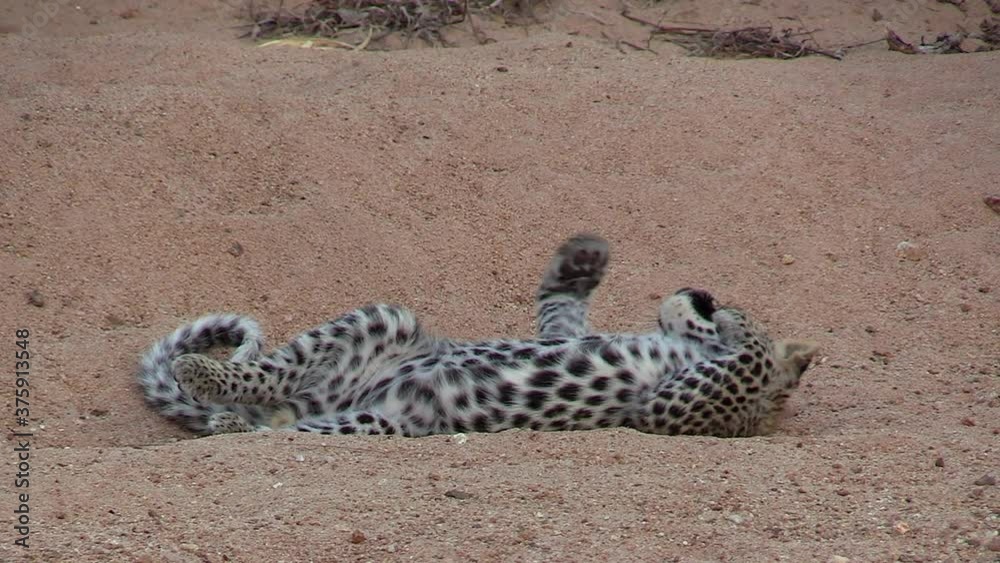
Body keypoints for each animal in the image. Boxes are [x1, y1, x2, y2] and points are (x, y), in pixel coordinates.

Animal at [138, 233, 819, 439]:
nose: (704, 289)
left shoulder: (669, 409)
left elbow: (756, 355)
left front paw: (760, 333)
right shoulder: (574, 334)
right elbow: (560, 313)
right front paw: (580, 262)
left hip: (377, 421)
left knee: (273, 424)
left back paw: (220, 406)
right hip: (383, 321)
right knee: (267, 374)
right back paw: (210, 380)